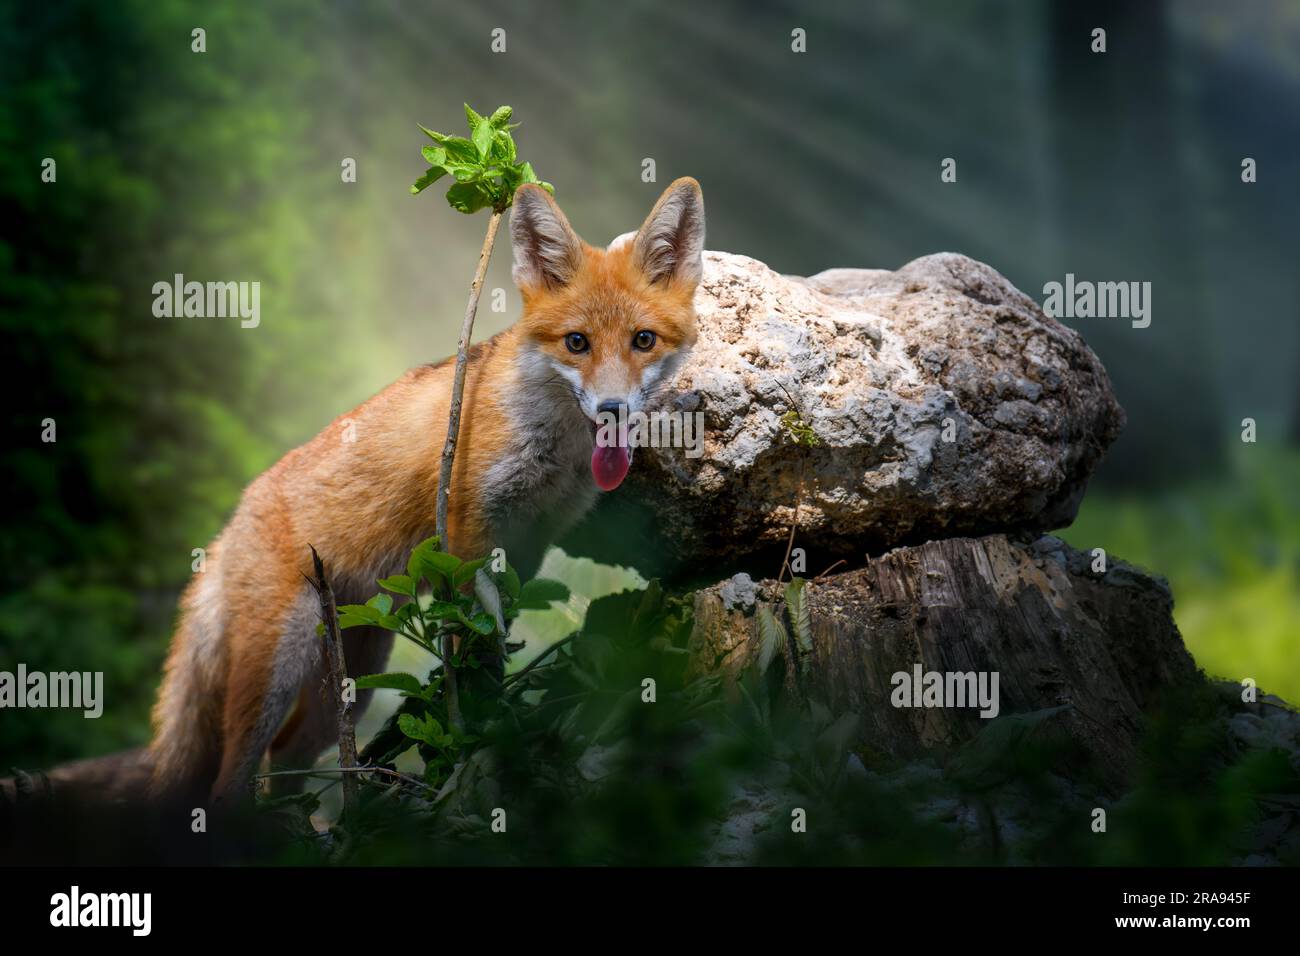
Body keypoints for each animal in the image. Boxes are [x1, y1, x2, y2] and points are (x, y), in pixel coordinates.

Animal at [148, 177, 706, 803]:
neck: (552, 448)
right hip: (276, 671)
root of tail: (231, 521)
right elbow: (475, 644)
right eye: (577, 343)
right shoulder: (467, 533)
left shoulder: (530, 541)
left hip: (355, 673)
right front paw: (473, 728)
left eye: (643, 340)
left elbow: (500, 628)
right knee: (230, 780)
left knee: (290, 755)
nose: (612, 409)